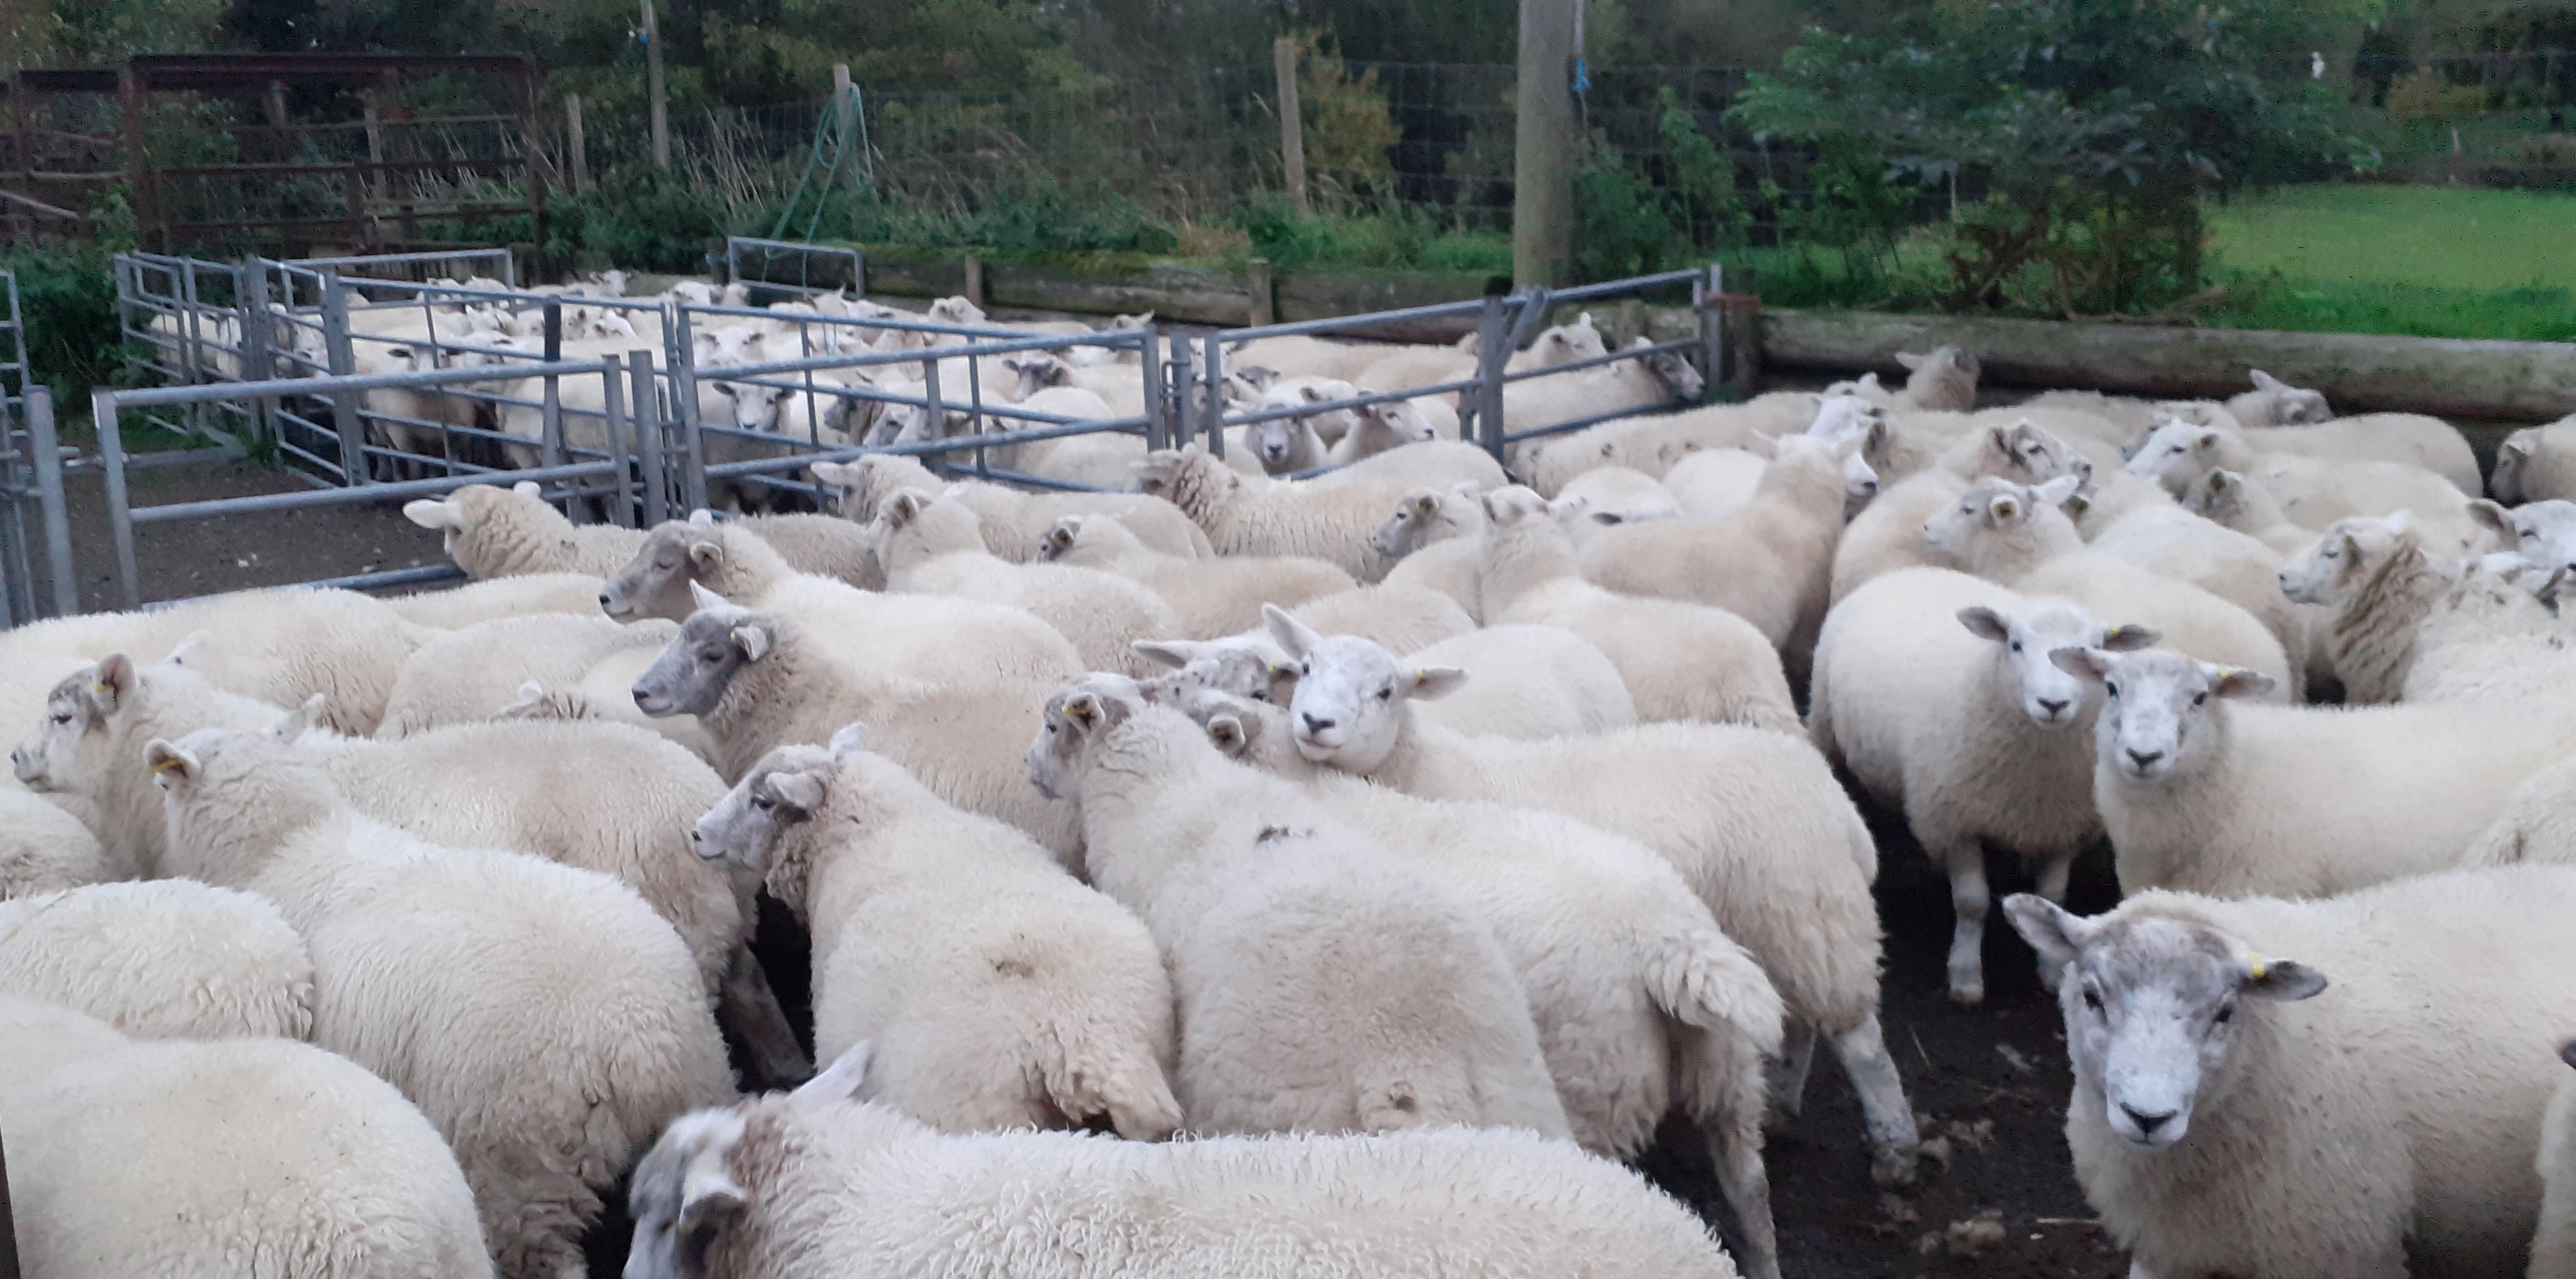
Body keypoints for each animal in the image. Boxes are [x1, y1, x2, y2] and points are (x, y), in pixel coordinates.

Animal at [1257, 611, 1913, 1191]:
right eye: (1306, 667)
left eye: (1386, 691)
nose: (1315, 722)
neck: (1423, 768)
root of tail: (1836, 801)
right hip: (1790, 929)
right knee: (1805, 1021)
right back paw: (1781, 1103)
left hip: (1809, 914)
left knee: (1861, 1042)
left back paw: (1895, 1151)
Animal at [1809, 568, 2158, 1003]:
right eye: (2015, 644)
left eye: (2094, 651)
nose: (2053, 704)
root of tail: (1911, 570)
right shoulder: (1953, 821)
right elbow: (1972, 903)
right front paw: (1966, 975)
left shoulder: (2066, 825)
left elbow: (2053, 897)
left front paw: (2051, 970)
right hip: (1822, 721)